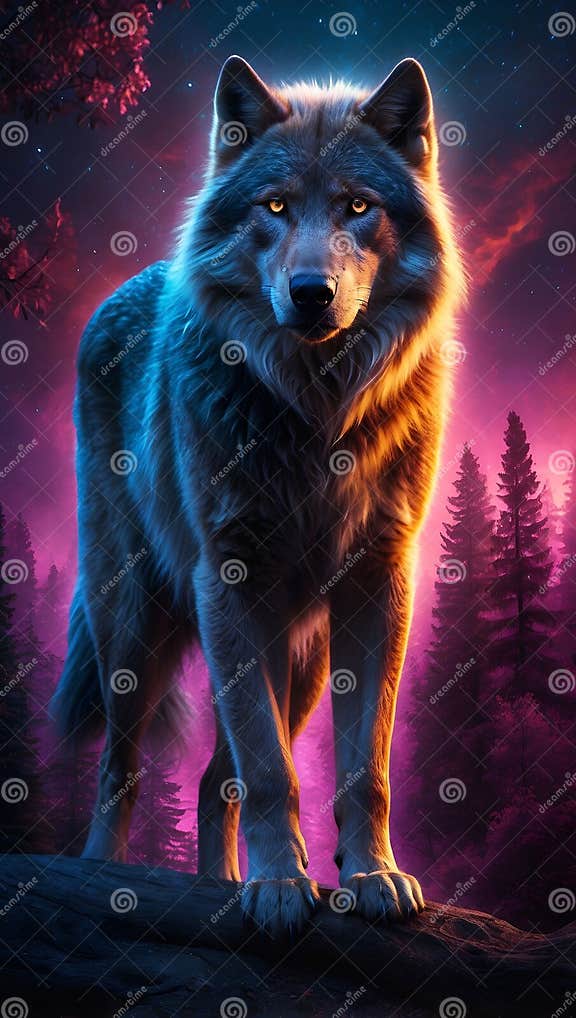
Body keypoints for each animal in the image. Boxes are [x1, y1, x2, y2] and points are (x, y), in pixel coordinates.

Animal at [52, 54, 464, 935]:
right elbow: (274, 771)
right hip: (133, 628)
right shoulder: (229, 580)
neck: (313, 410)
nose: (311, 291)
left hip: (300, 660)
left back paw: (219, 885)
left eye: (357, 207)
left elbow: (362, 768)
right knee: (118, 768)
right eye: (274, 206)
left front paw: (371, 877)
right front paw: (279, 888)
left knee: (217, 781)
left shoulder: (379, 583)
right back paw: (105, 876)